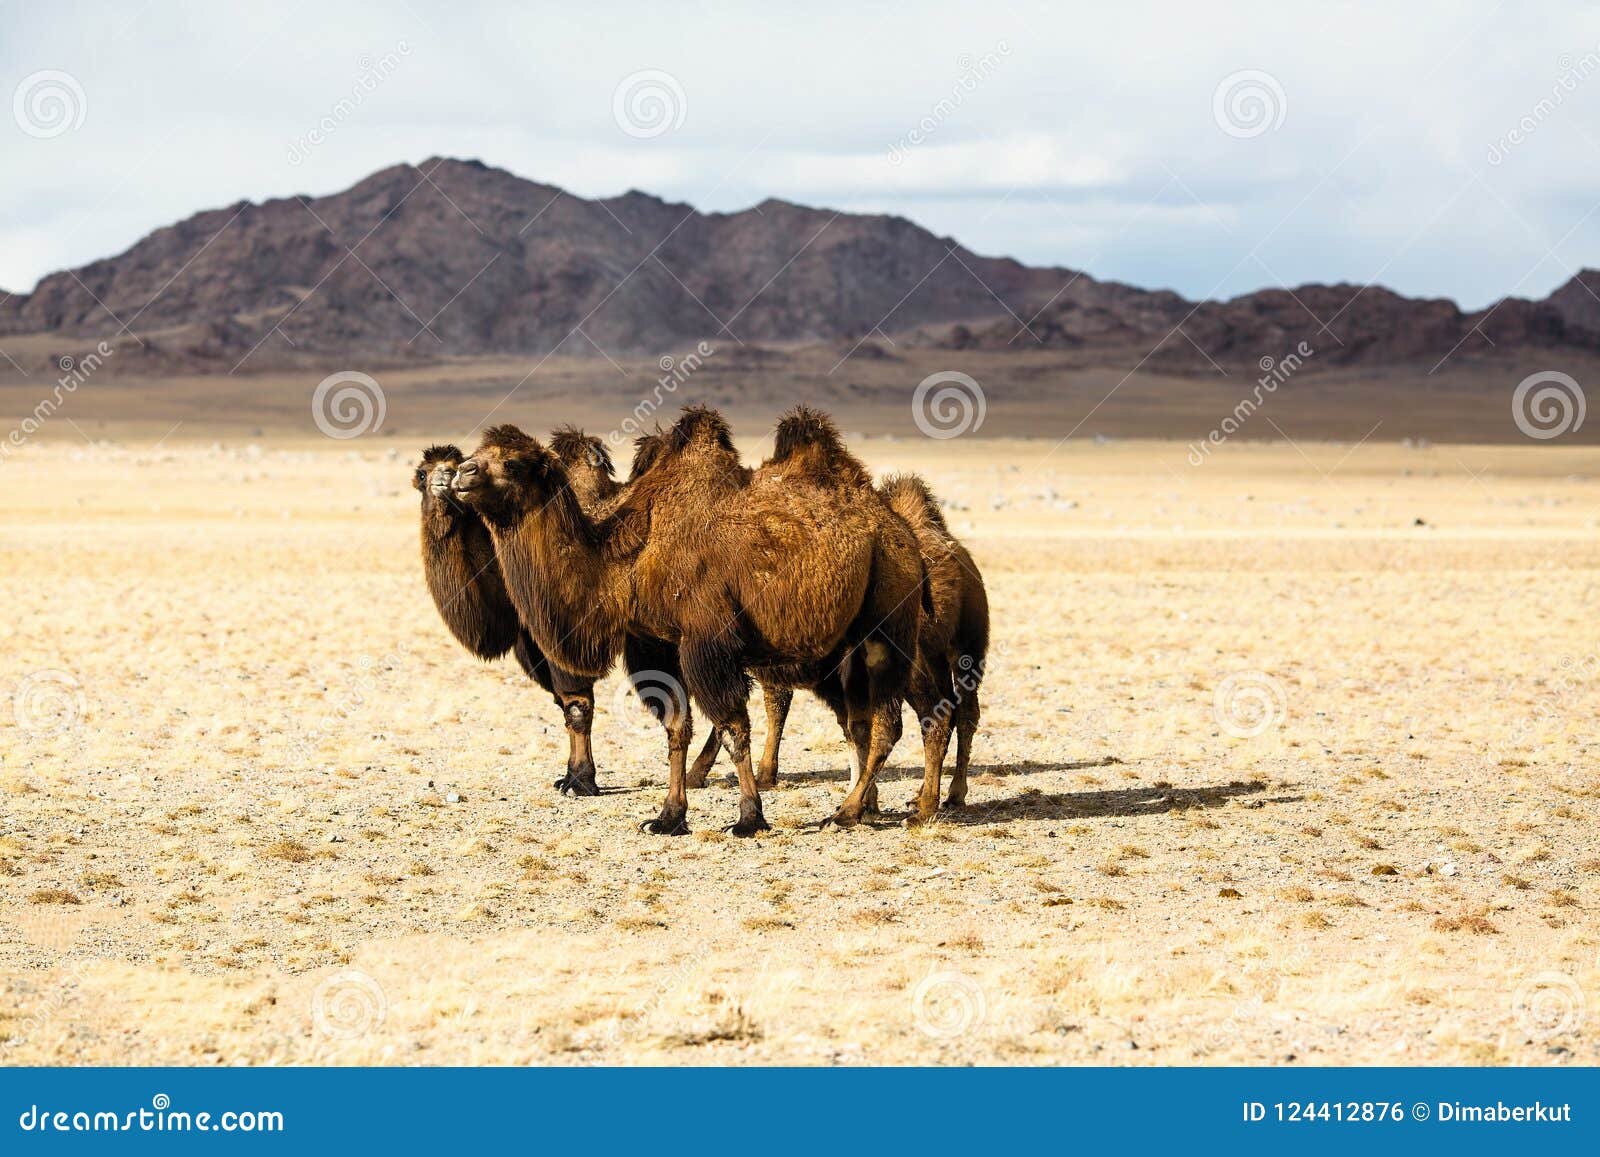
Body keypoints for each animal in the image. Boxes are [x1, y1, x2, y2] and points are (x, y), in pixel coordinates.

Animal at [412, 442, 607, 796]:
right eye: (422, 473)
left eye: (456, 463)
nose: (445, 477)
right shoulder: (532, 642)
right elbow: (563, 704)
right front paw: (570, 777)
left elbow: (577, 704)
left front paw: (581, 781)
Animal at [449, 406, 924, 835]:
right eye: (477, 453)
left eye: (512, 463)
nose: (460, 475)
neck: (630, 559)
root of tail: (900, 530)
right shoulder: (656, 644)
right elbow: (677, 726)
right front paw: (668, 818)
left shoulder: (705, 640)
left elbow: (732, 727)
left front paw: (748, 819)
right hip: (846, 641)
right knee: (857, 720)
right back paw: (863, 808)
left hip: (888, 618)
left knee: (887, 723)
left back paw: (846, 813)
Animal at [687, 409, 989, 822]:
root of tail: (957, 557)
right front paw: (865, 799)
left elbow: (757, 708)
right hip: (948, 653)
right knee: (956, 712)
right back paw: (935, 796)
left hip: (941, 655)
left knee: (944, 715)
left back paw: (932, 802)